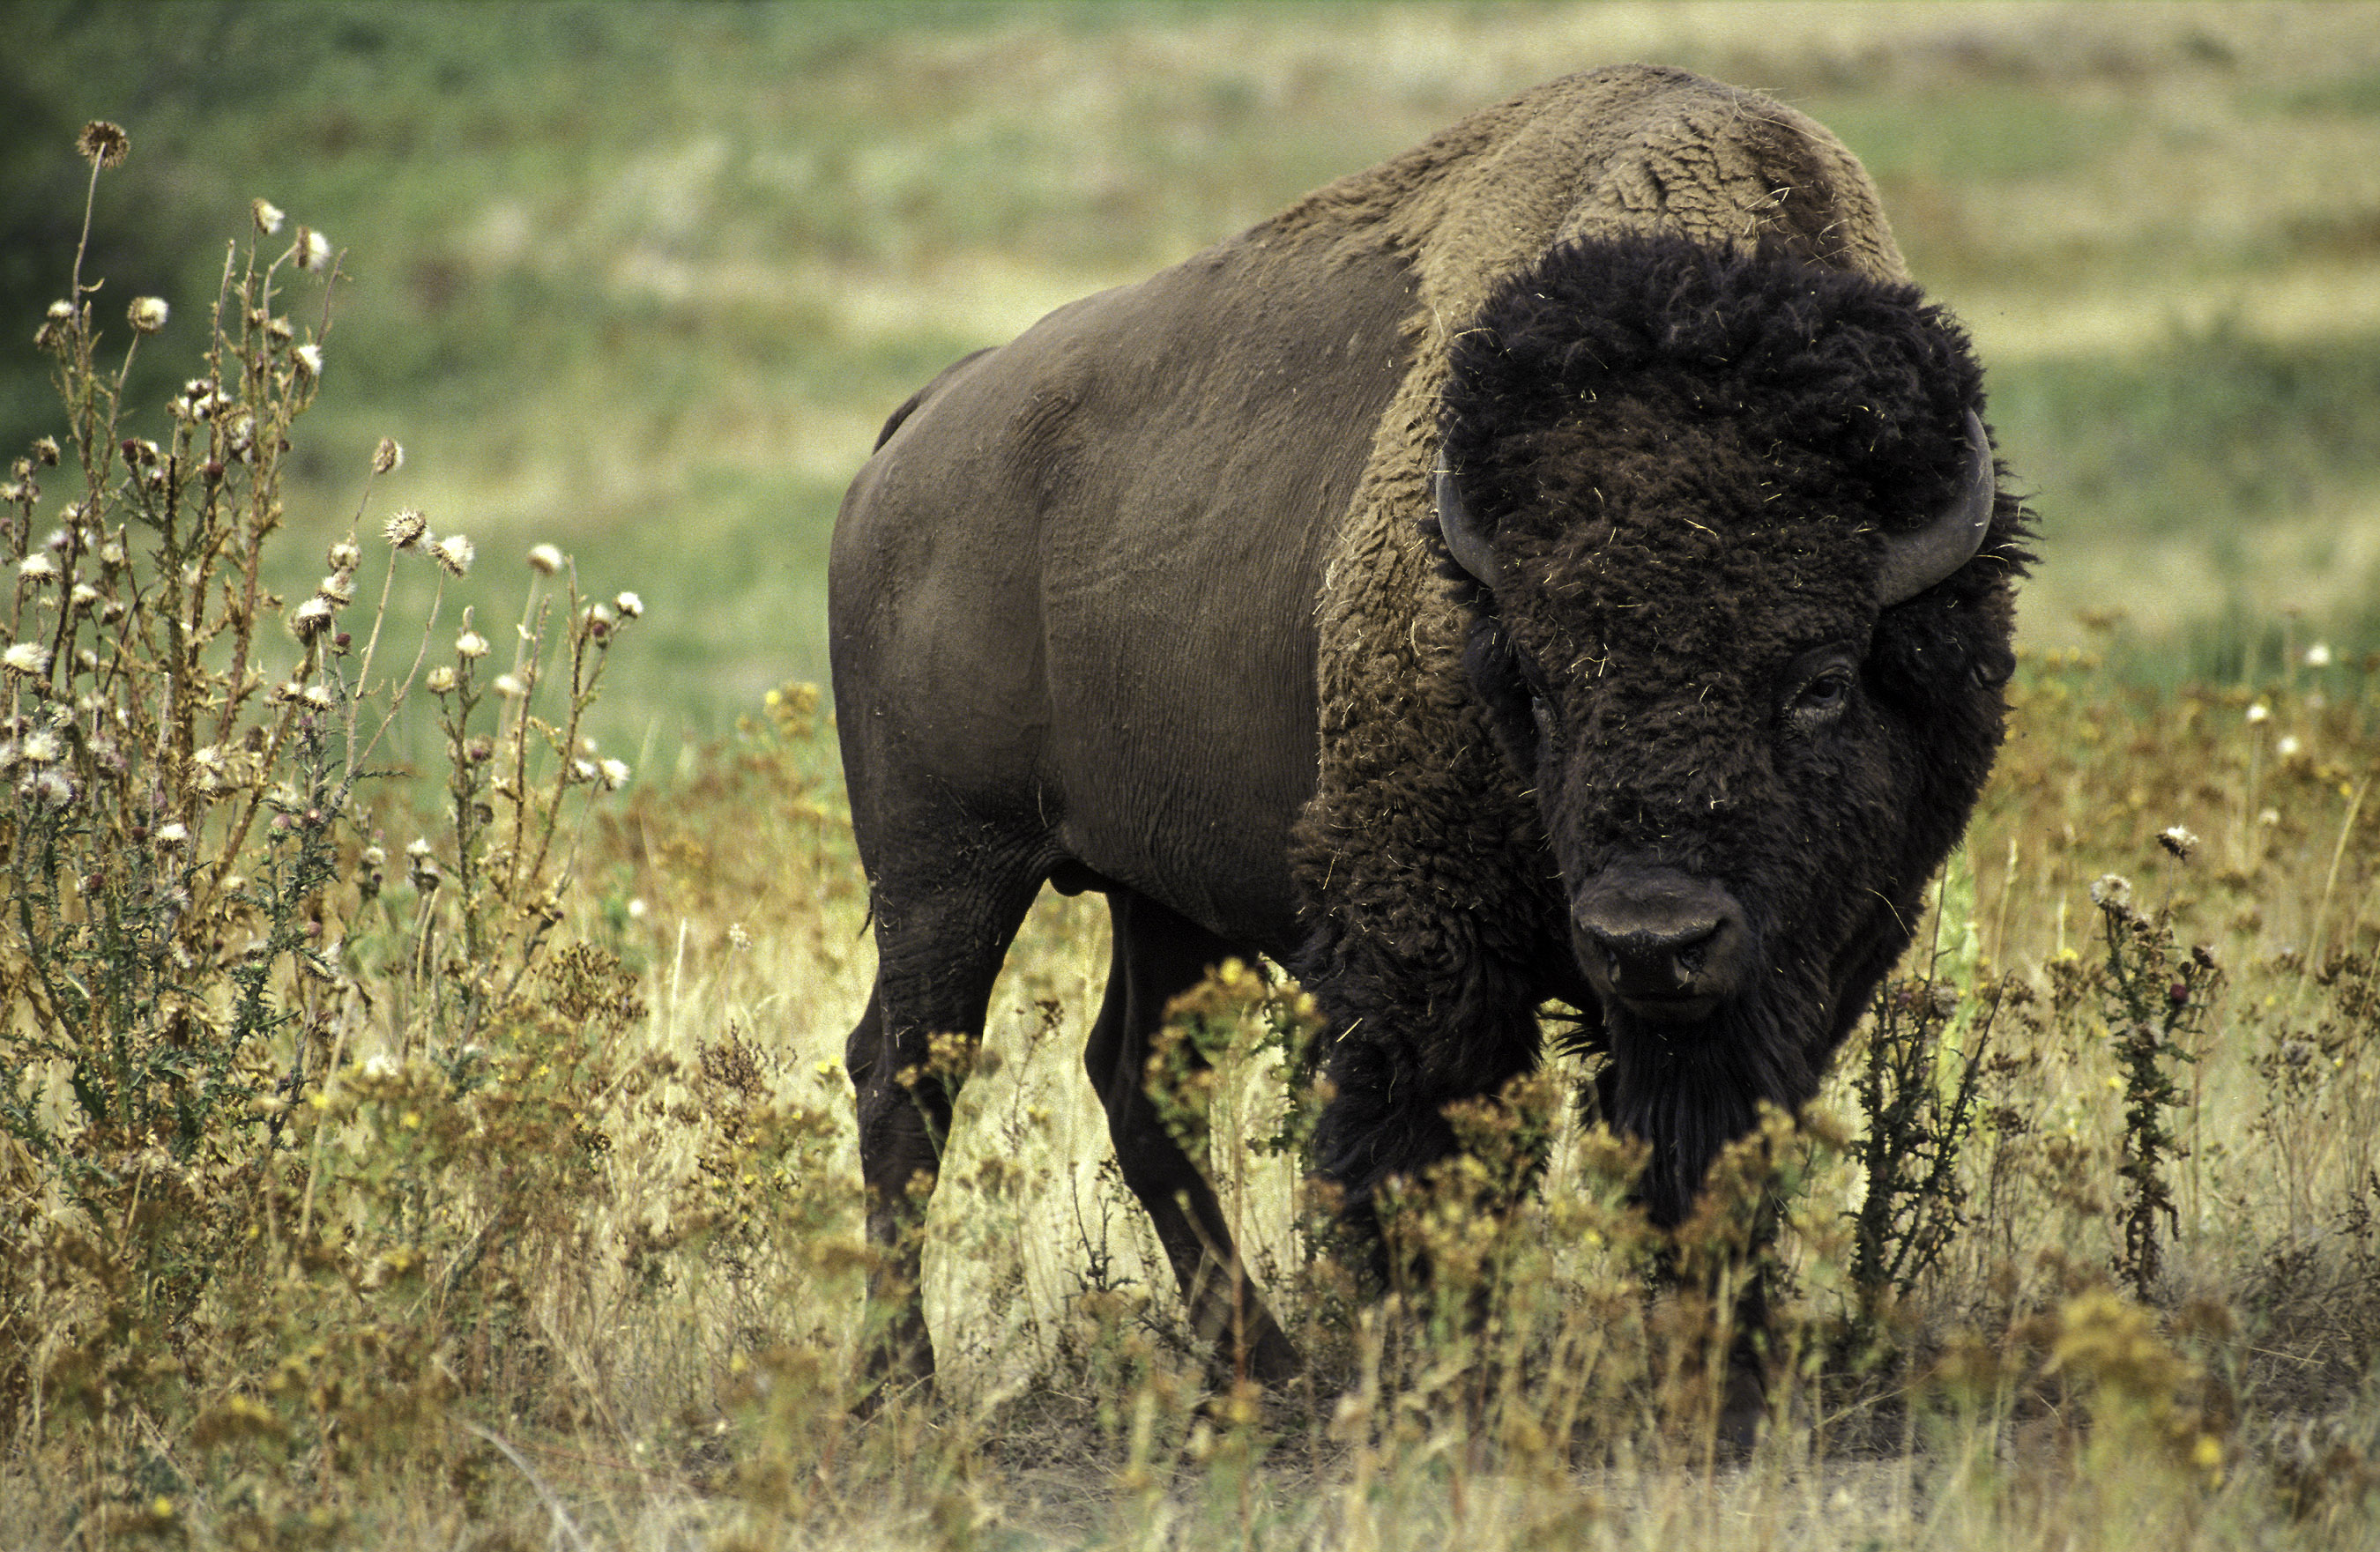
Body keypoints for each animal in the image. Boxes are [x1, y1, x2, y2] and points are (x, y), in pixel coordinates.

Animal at [830, 63, 2026, 1392]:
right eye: (1537, 684)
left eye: (1821, 679)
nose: (1651, 939)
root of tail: (921, 426)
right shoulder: (1426, 944)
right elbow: (1429, 1158)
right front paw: (1444, 1367)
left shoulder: (1815, 956)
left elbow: (1711, 1154)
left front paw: (1727, 1367)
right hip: (946, 869)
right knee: (905, 1076)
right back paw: (904, 1382)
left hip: (1160, 892)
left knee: (1132, 1079)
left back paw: (1262, 1366)